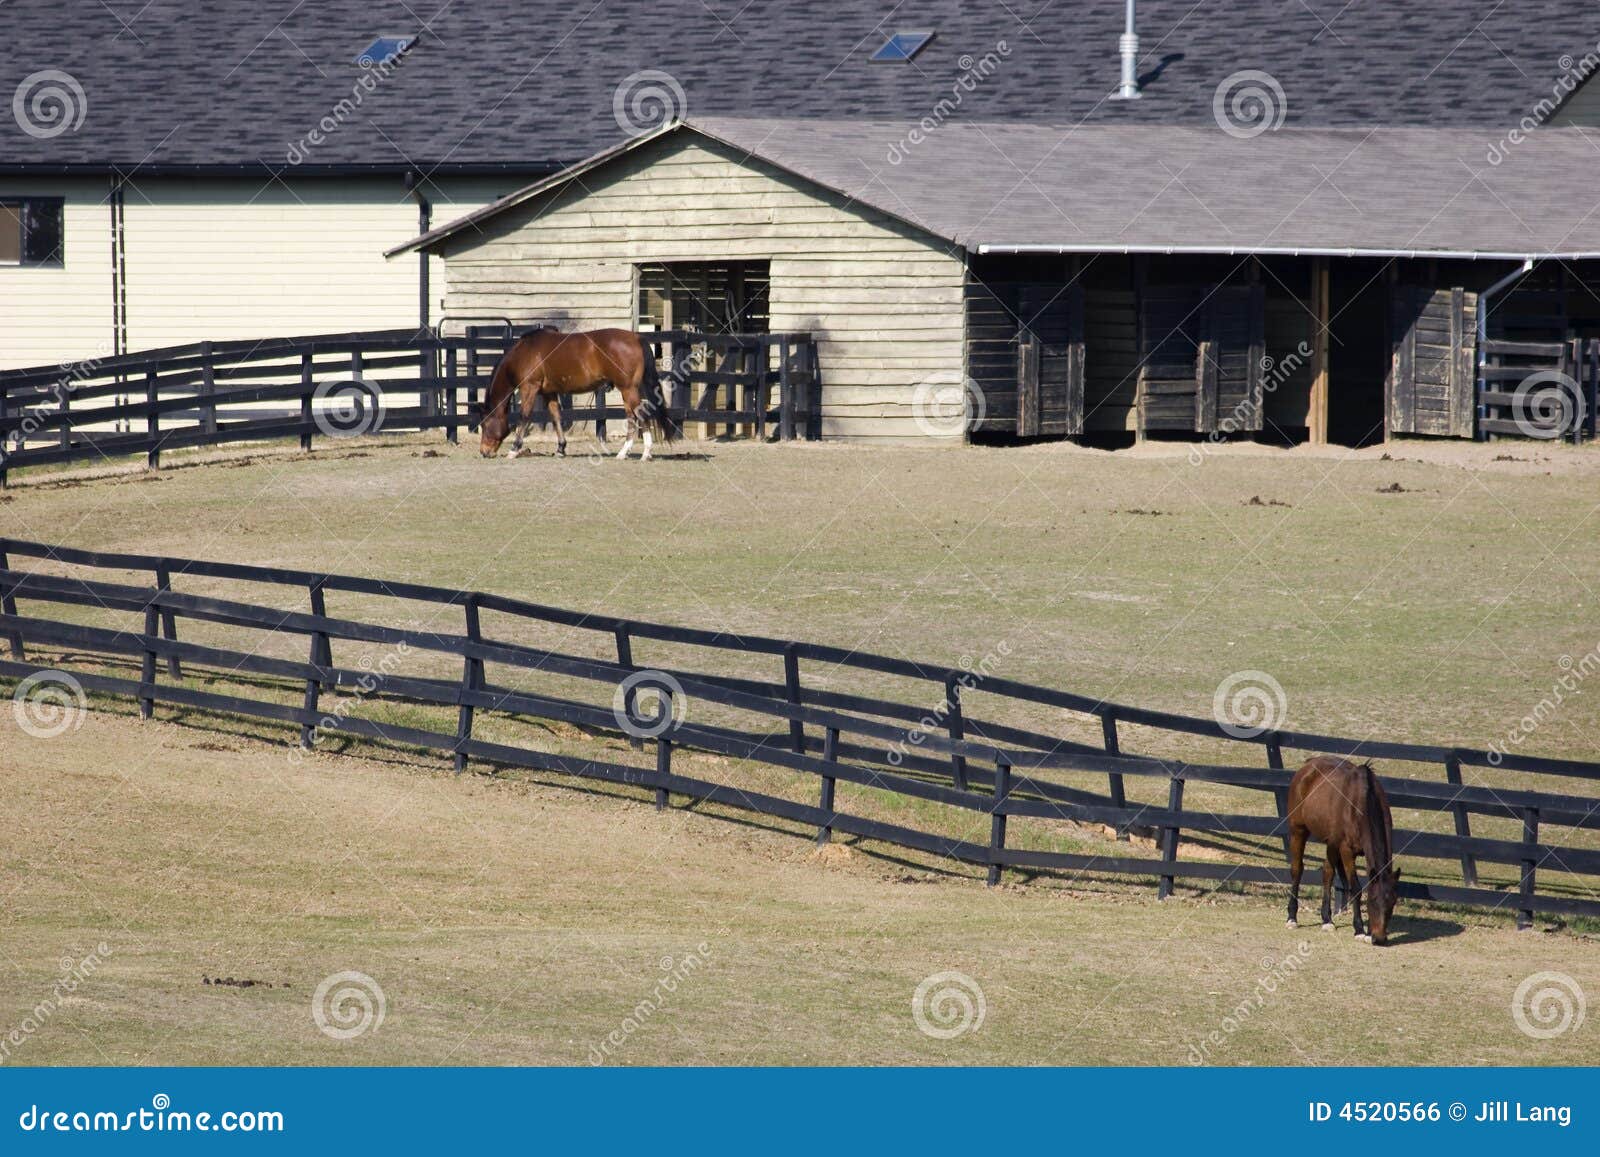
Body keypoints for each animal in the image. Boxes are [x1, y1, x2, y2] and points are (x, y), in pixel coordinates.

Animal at [478, 327, 679, 460]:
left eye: (485, 424)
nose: (484, 452)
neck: (525, 352)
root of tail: (636, 337)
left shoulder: (530, 387)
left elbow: (524, 416)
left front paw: (514, 449)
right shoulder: (549, 392)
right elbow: (556, 417)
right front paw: (560, 449)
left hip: (628, 389)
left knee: (638, 415)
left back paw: (639, 453)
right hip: (629, 390)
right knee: (635, 415)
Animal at [1285, 755, 1401, 945]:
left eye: (1393, 902)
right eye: (1373, 900)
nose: (1379, 938)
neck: (1361, 803)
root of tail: (1308, 765)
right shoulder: (1347, 851)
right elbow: (1355, 888)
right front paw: (1359, 929)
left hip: (1331, 843)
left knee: (1327, 872)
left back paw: (1327, 920)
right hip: (1298, 830)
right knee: (1297, 869)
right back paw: (1292, 918)